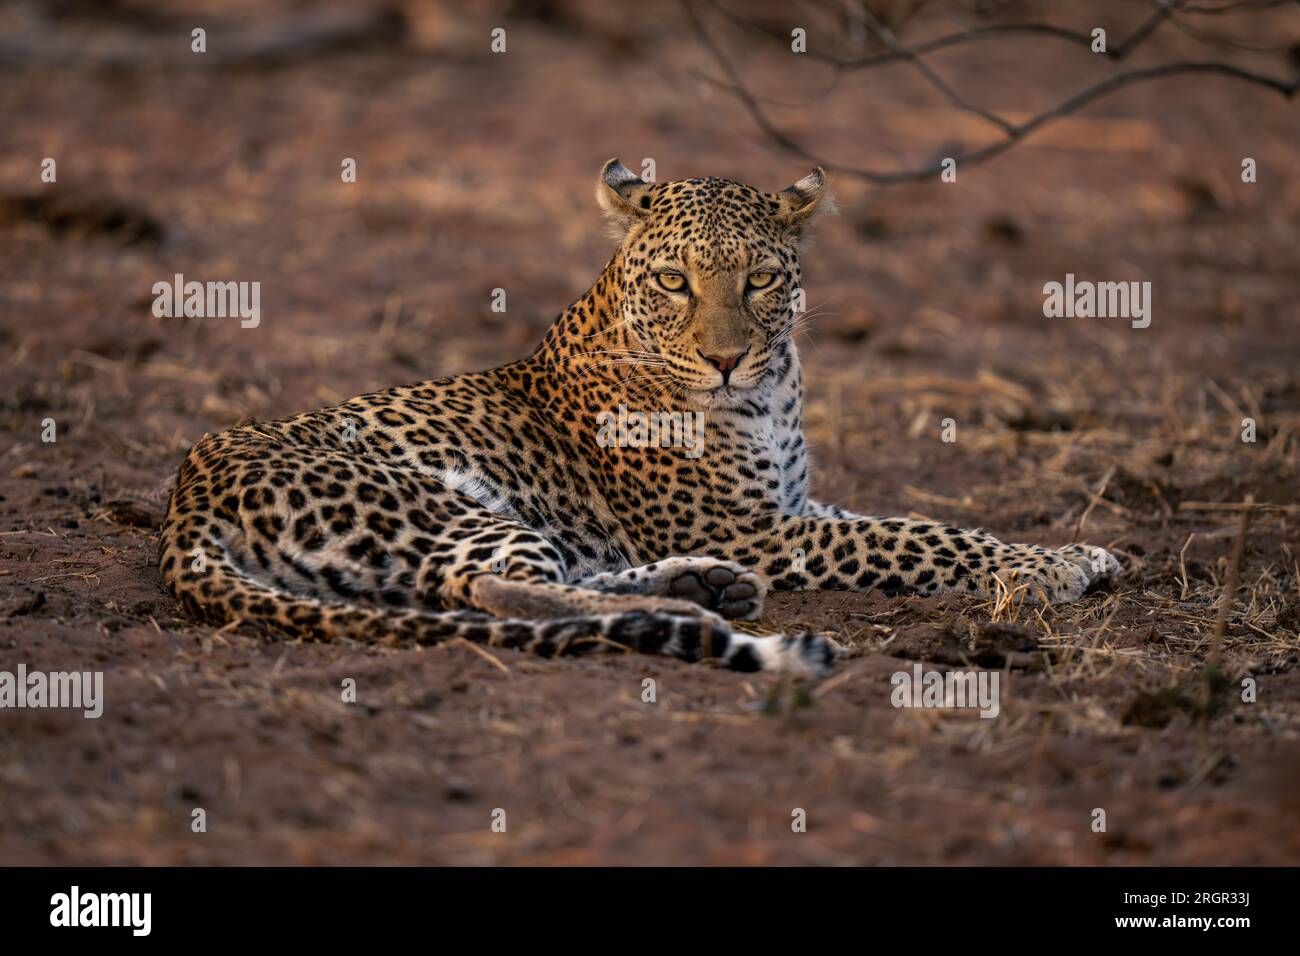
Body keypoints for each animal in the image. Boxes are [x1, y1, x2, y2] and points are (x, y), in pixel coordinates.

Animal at [158, 159, 1120, 677]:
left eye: (759, 280)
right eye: (674, 281)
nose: (725, 359)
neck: (771, 391)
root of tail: (185, 497)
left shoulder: (790, 509)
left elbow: (919, 520)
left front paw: (1075, 550)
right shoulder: (758, 528)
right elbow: (918, 536)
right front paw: (1051, 567)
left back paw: (703, 591)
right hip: (442, 505)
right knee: (490, 591)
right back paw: (697, 617)